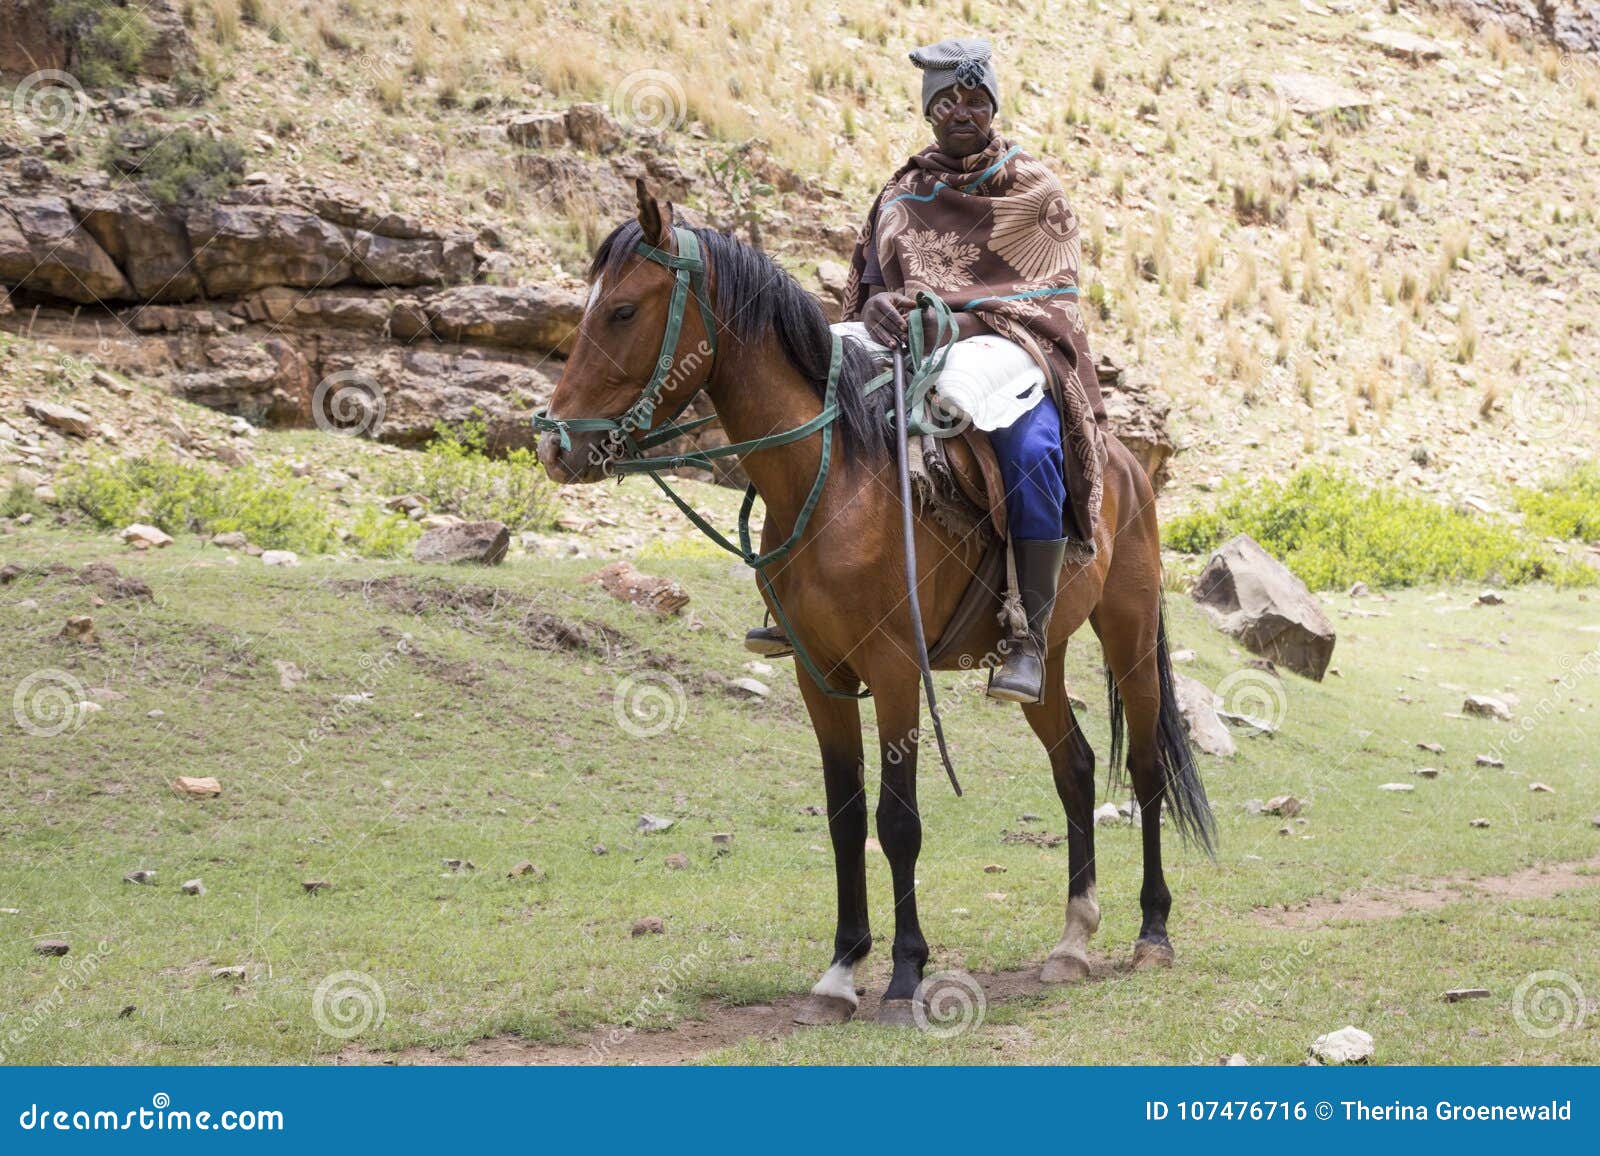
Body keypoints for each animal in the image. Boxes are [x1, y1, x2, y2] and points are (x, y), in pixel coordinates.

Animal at [536, 179, 1214, 1027]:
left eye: (624, 310)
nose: (554, 445)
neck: (836, 479)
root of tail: (1122, 463)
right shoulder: (819, 676)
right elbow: (846, 817)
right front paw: (838, 973)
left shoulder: (894, 669)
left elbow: (897, 821)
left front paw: (903, 974)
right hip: (1045, 653)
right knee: (1078, 768)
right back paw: (1071, 941)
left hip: (1126, 631)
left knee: (1148, 767)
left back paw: (1153, 933)